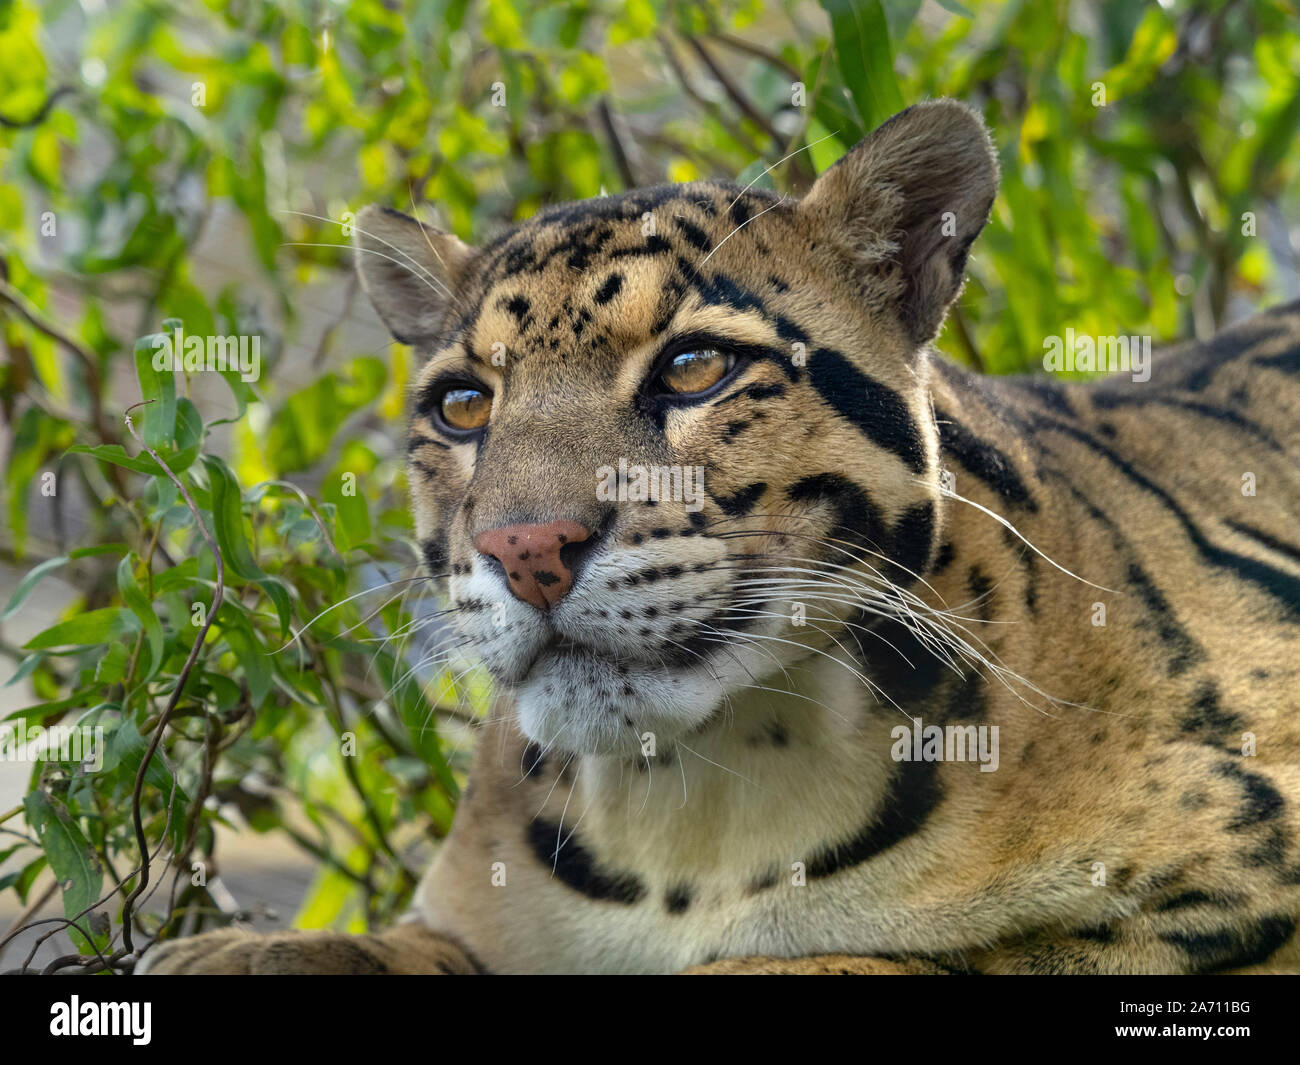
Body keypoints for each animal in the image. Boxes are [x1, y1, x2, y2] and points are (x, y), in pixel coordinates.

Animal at [140, 99, 1300, 975]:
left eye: (695, 368)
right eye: (463, 406)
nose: (527, 551)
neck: (694, 802)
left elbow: (896, 956)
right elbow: (394, 945)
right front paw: (232, 952)